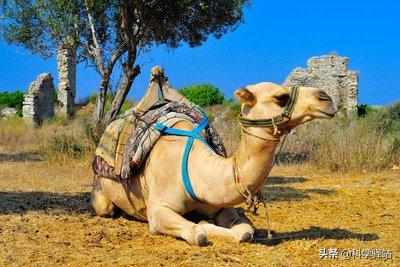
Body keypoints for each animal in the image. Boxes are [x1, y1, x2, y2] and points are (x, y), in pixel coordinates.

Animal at [91, 82, 338, 247]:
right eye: (281, 97)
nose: (326, 97)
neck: (197, 172)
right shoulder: (158, 211)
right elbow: (197, 233)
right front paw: (201, 224)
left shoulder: (222, 205)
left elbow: (245, 232)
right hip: (102, 194)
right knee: (106, 208)